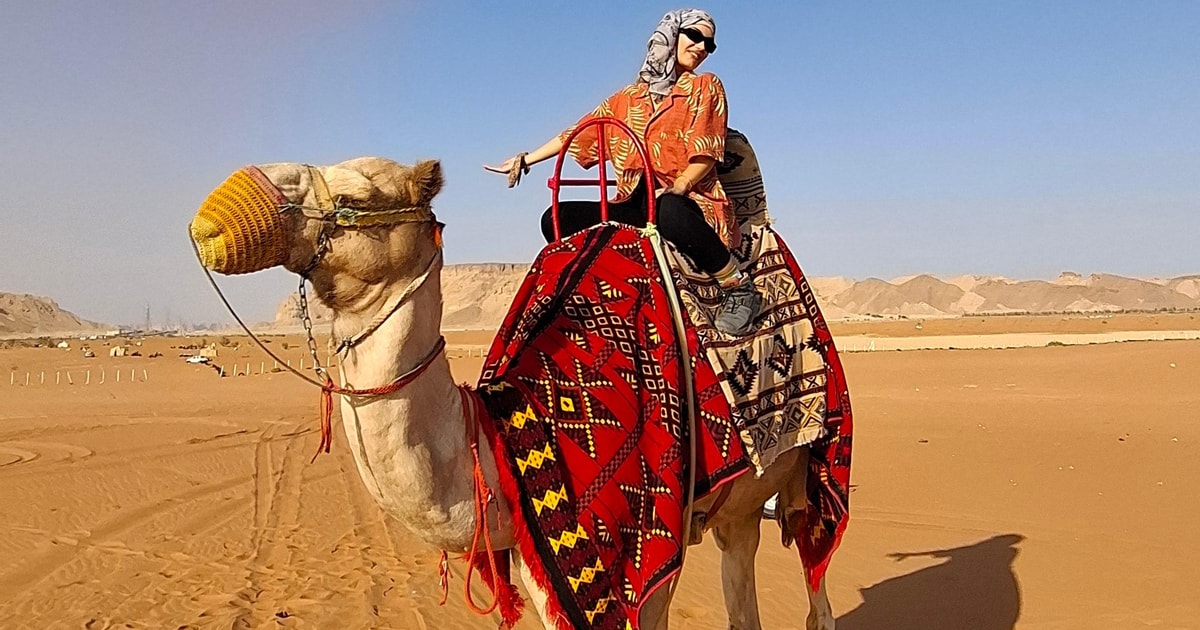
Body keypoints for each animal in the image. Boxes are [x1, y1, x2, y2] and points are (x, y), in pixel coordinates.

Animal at [190, 156, 836, 630]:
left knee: (816, 593)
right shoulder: (541, 558)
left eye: (356, 198)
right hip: (741, 507)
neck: (496, 429)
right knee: (742, 570)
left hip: (812, 471)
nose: (216, 211)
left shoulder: (648, 556)